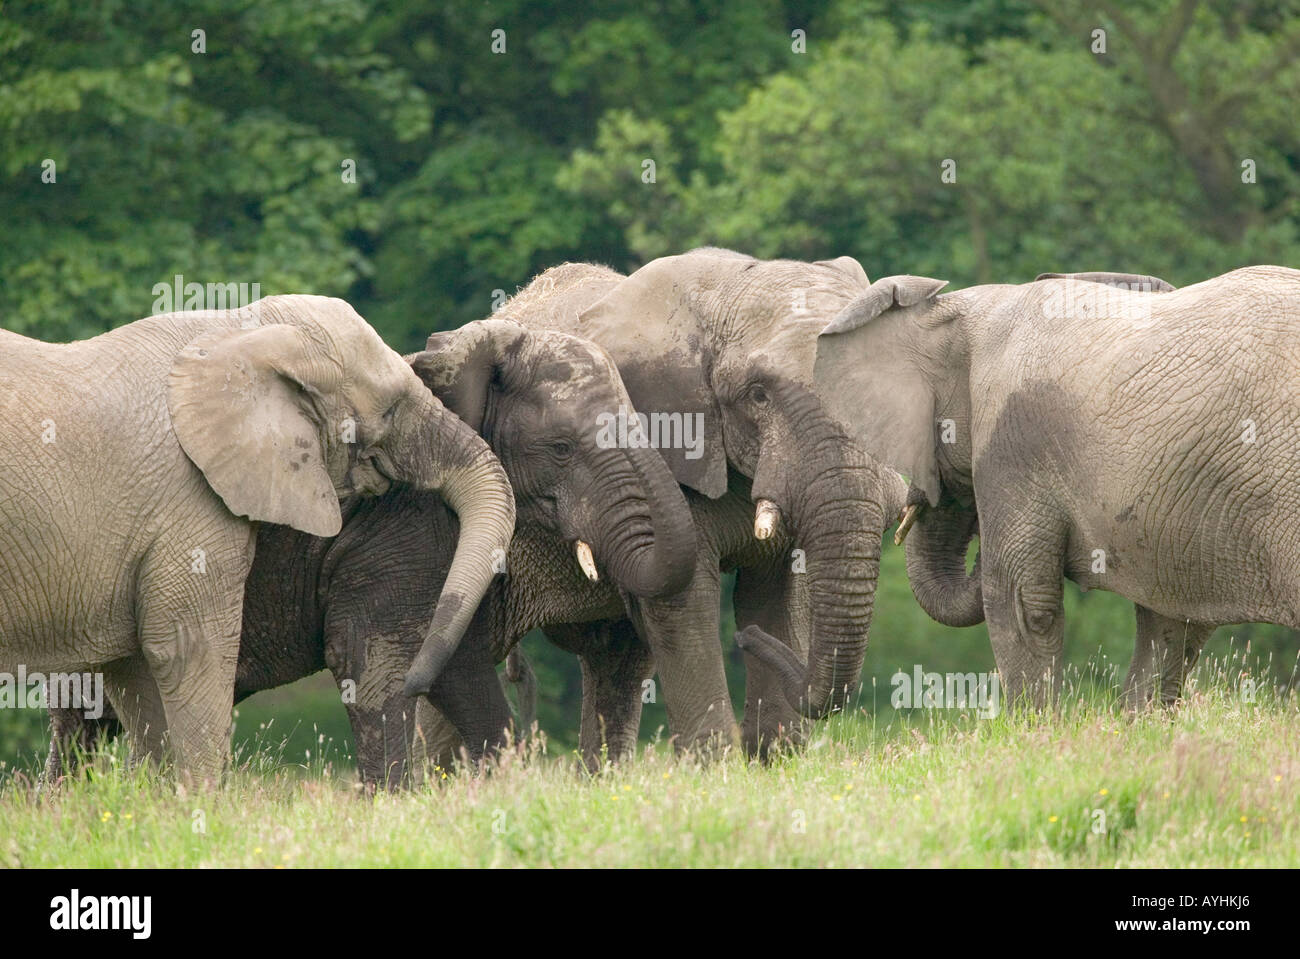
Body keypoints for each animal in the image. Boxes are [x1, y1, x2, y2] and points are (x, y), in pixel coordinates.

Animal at [1, 295, 515, 783]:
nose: (414, 683)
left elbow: (137, 674)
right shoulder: (189, 504)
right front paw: (201, 804)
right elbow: (188, 649)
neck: (238, 330)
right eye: (390, 409)